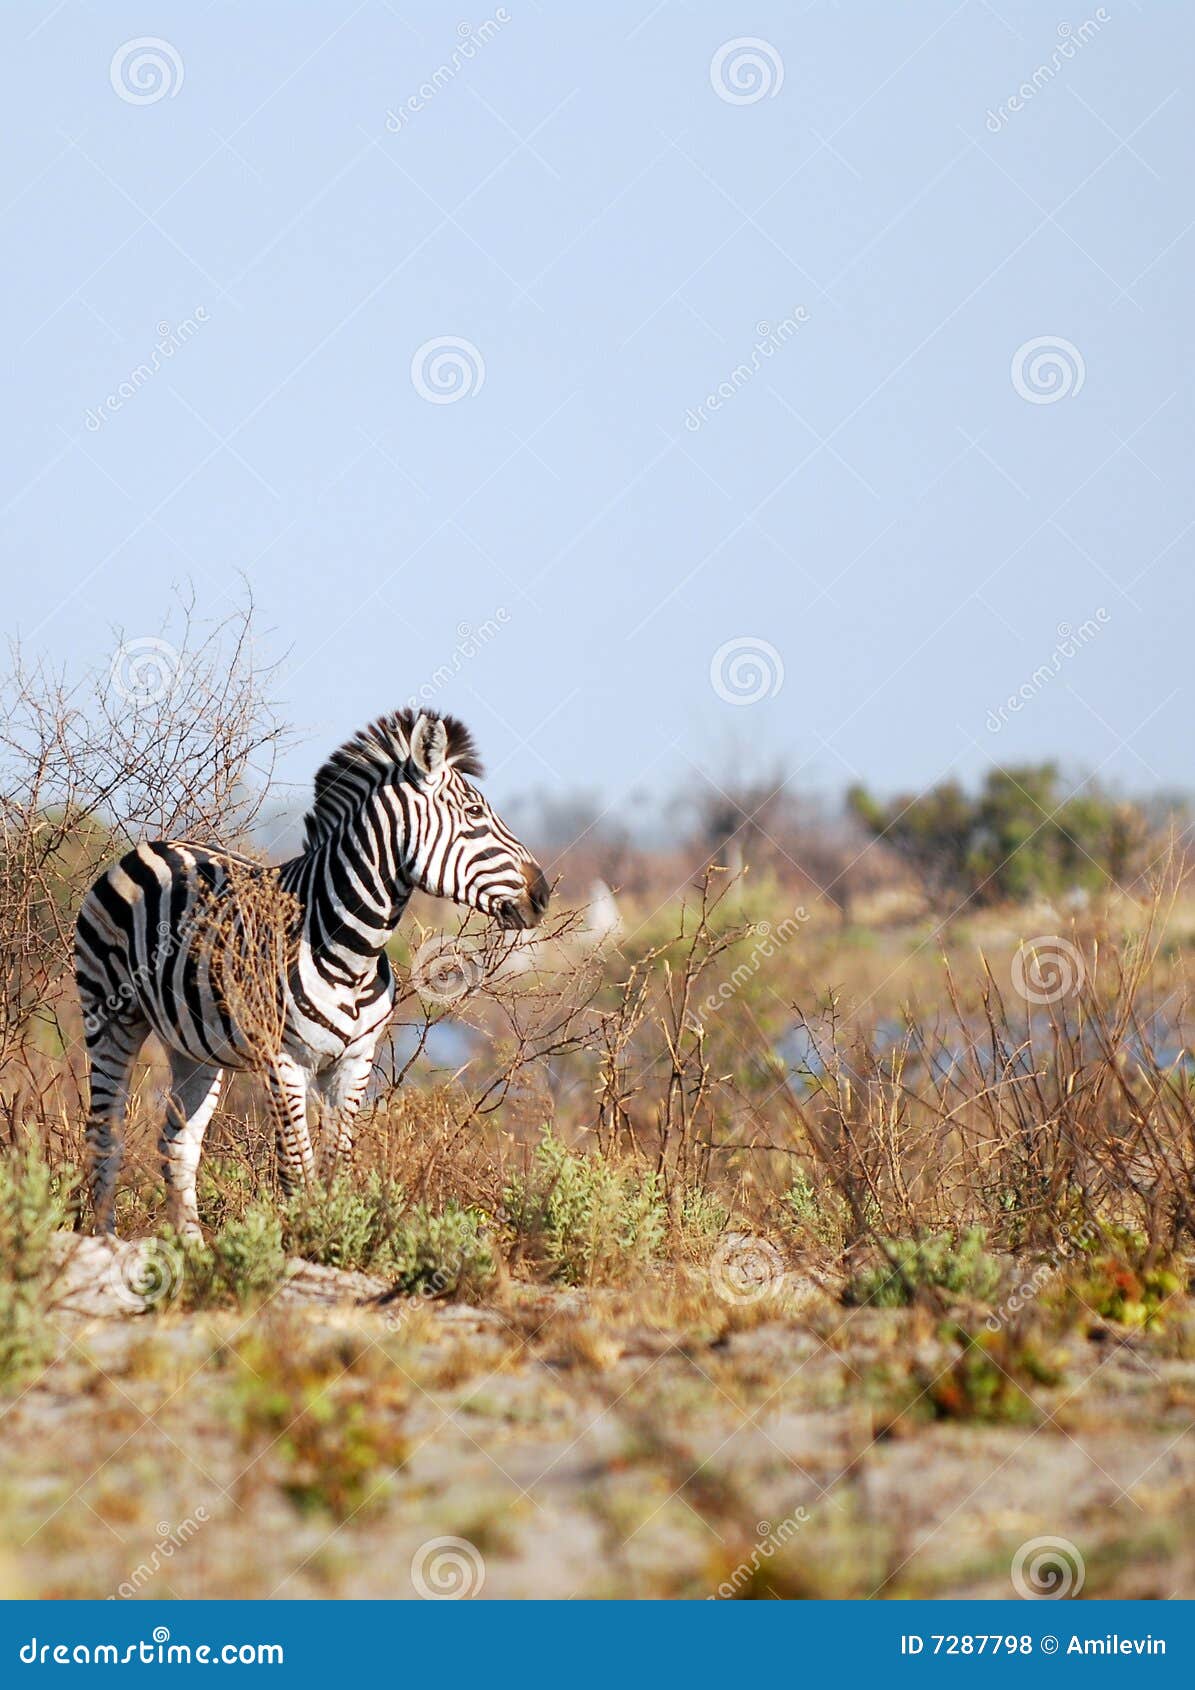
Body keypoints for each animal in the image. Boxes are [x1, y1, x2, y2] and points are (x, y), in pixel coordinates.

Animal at [74, 709, 549, 1237]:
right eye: (473, 814)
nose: (543, 894)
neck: (352, 952)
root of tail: (155, 845)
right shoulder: (285, 1062)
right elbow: (296, 1171)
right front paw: (302, 1244)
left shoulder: (356, 1061)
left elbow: (335, 1167)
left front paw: (331, 1240)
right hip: (109, 1018)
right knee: (104, 1135)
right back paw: (106, 1240)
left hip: (195, 1048)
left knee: (178, 1145)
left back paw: (191, 1247)